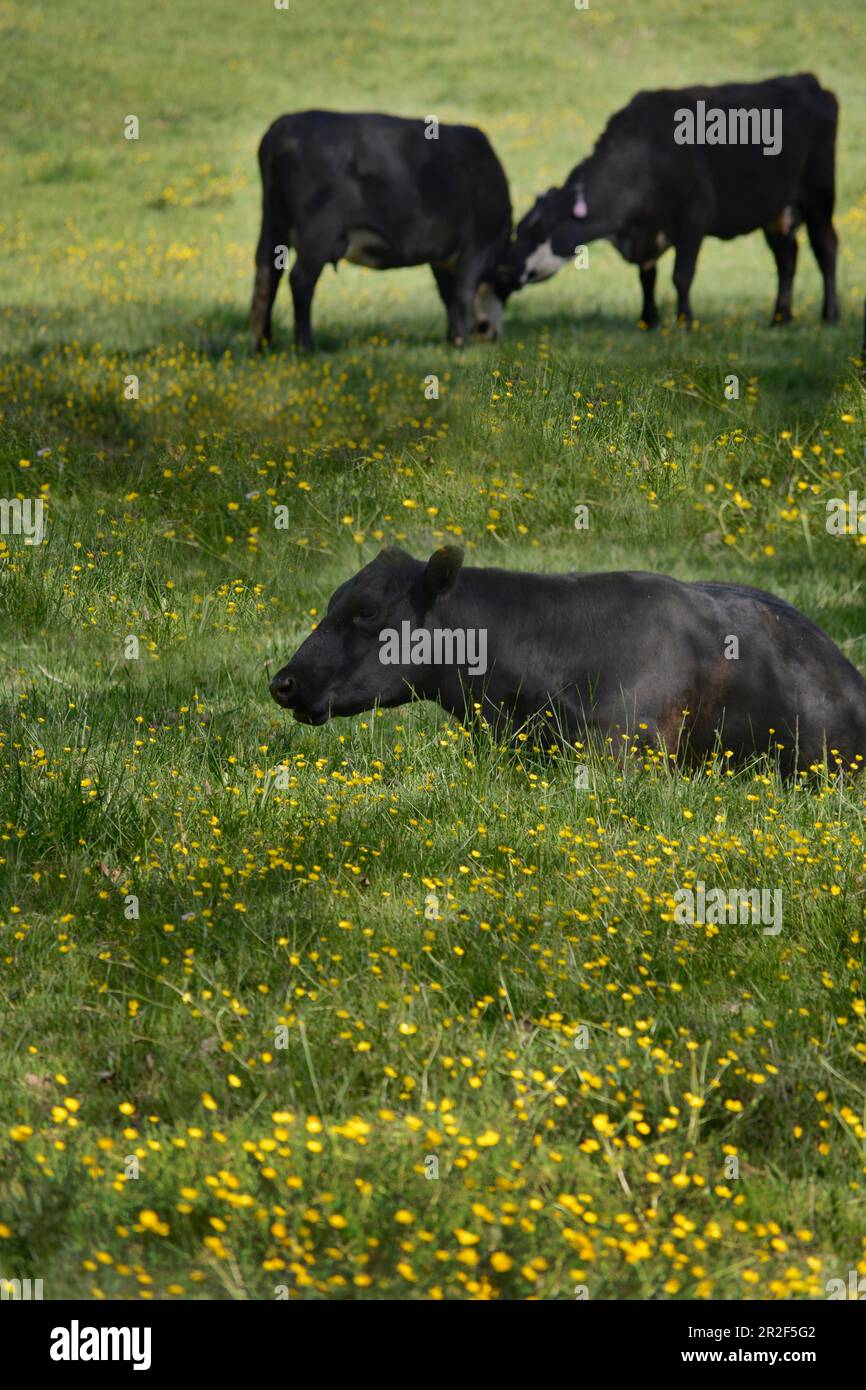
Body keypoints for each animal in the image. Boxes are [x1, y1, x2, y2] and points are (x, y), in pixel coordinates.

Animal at [250, 110, 512, 352]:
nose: (493, 334)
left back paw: (263, 344)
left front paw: (452, 338)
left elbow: (448, 295)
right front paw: (461, 343)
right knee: (301, 280)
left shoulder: (441, 257)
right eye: (505, 286)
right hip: (319, 234)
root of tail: (283, 126)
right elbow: (462, 291)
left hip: (273, 223)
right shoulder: (479, 245)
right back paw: (306, 346)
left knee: (267, 273)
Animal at [495, 74, 839, 329]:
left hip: (818, 195)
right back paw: (780, 318)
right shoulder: (647, 233)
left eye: (538, 227)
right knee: (786, 257)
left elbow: (681, 276)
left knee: (825, 246)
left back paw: (829, 316)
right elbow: (647, 277)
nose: (505, 267)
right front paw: (649, 321)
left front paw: (685, 322)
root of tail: (807, 80)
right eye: (520, 227)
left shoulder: (694, 218)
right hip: (776, 210)